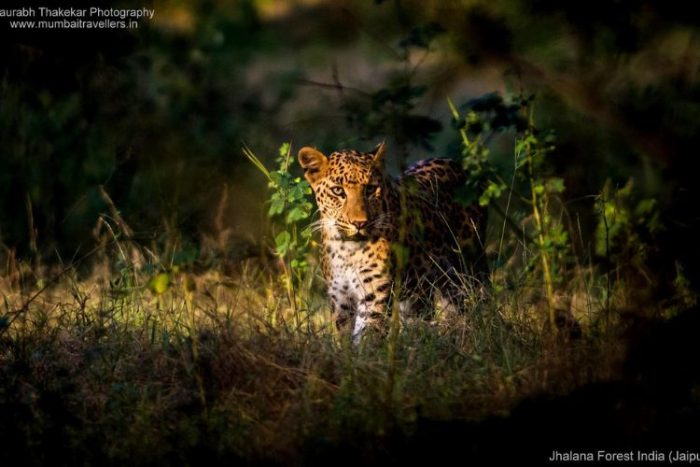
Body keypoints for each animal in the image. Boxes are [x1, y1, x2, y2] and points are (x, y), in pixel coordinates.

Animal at [298, 142, 485, 344]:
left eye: (370, 189)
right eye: (338, 191)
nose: (359, 223)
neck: (347, 249)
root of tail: (453, 162)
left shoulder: (374, 293)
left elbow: (368, 334)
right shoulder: (340, 298)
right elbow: (343, 336)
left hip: (469, 265)